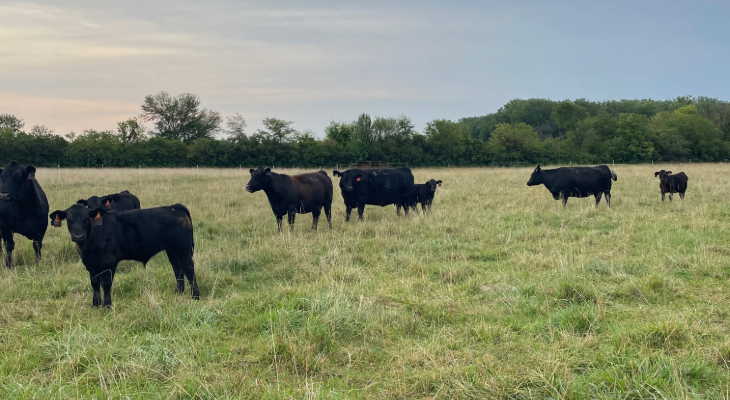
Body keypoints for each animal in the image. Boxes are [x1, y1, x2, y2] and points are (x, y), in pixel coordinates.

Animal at [49, 204, 199, 307]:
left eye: (86, 220)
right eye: (69, 220)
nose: (78, 237)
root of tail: (174, 207)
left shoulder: (109, 262)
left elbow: (106, 284)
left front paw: (107, 305)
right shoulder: (91, 265)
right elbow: (95, 284)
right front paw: (95, 305)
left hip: (183, 250)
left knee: (189, 270)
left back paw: (195, 296)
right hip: (172, 251)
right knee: (178, 270)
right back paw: (178, 292)